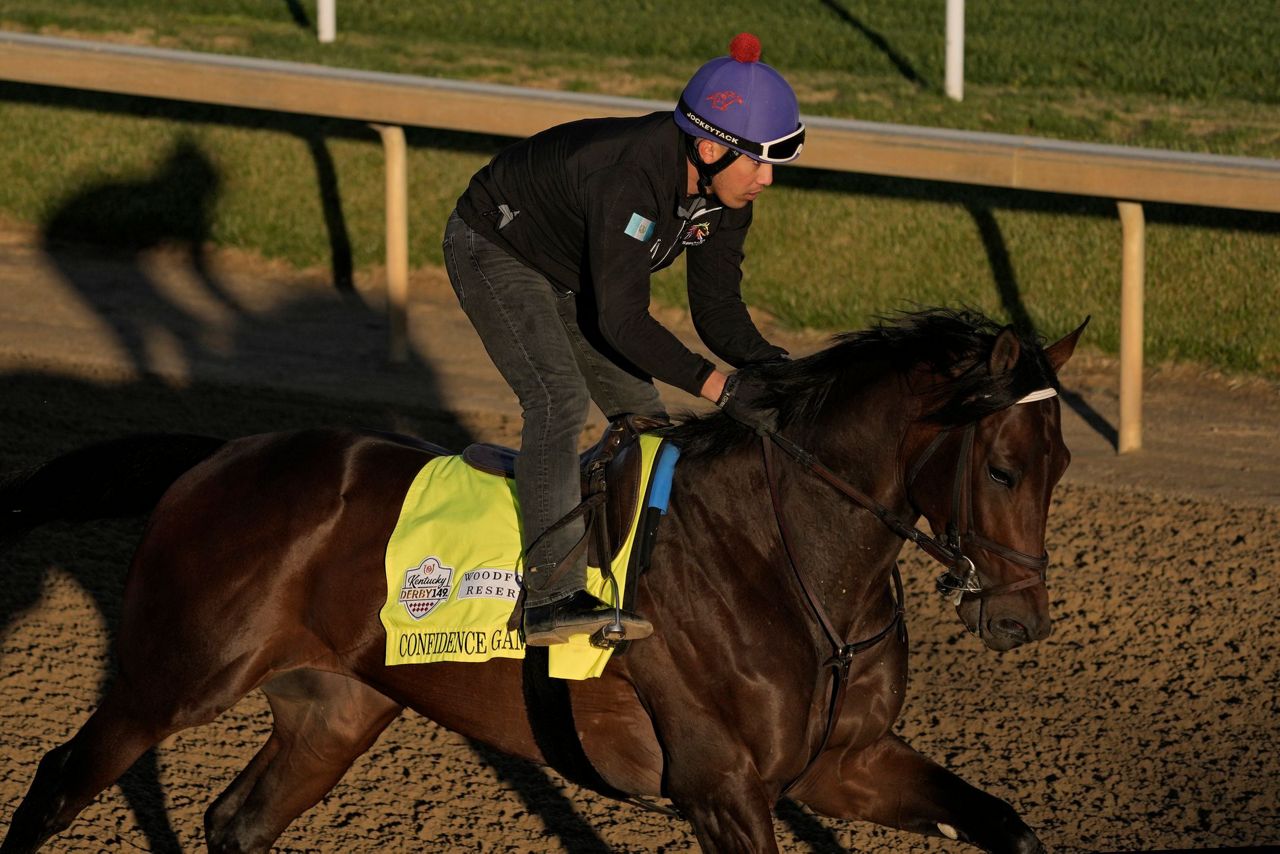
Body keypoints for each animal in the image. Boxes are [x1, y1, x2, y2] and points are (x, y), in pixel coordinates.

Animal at [0, 309, 1084, 853]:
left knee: (237, 823)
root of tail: (218, 456)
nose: (1020, 620)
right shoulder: (722, 785)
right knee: (57, 785)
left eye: (1063, 463)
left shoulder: (840, 761)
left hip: (335, 707)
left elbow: (1005, 824)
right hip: (172, 677)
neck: (793, 566)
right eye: (1000, 469)